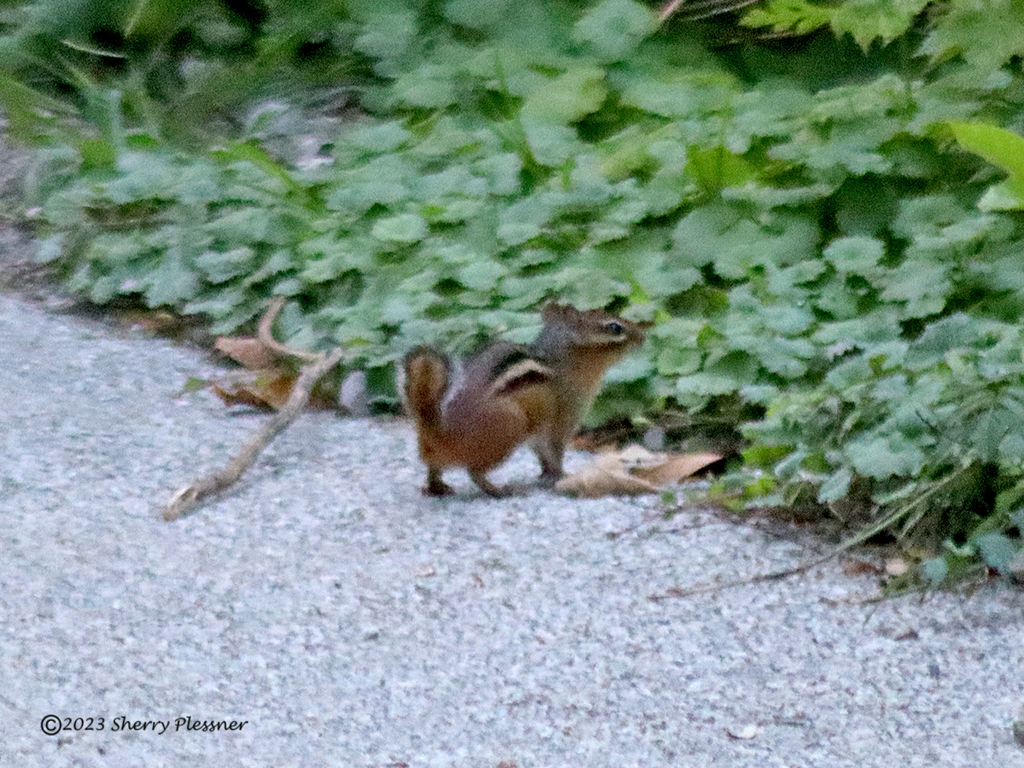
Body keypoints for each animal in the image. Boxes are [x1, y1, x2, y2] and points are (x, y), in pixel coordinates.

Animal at [399, 303, 649, 497]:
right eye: (614, 327)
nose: (642, 336)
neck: (563, 362)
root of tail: (439, 431)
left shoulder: (538, 435)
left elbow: (542, 455)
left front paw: (546, 474)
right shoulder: (563, 421)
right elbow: (555, 453)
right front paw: (562, 475)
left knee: (434, 469)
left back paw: (438, 488)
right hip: (510, 427)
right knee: (474, 472)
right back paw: (498, 490)